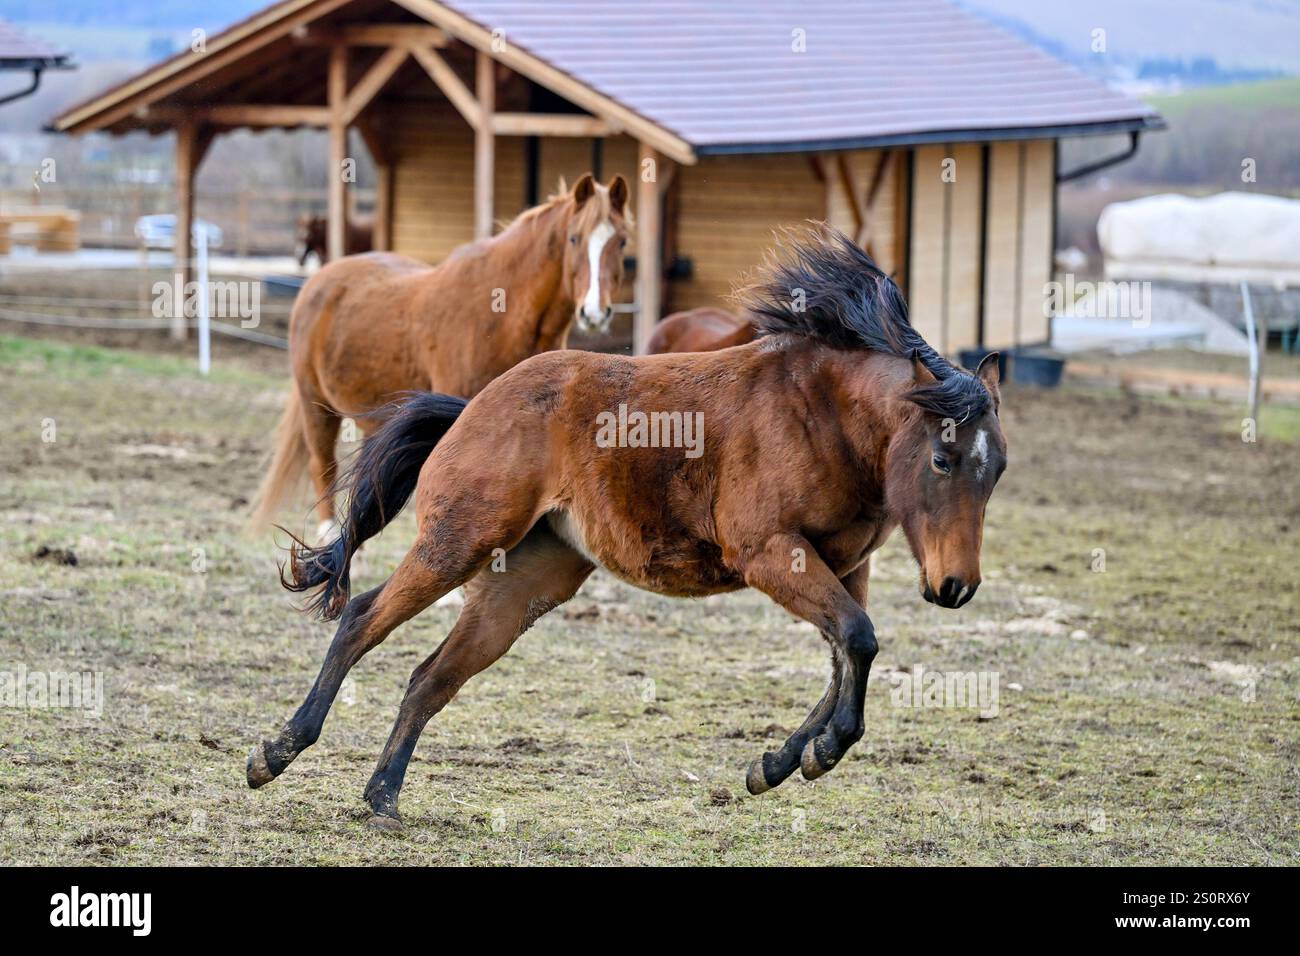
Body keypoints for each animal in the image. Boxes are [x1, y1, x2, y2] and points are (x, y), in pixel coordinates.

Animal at [246, 226, 1007, 830]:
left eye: (996, 469)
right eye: (943, 458)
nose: (957, 586)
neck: (820, 413)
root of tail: (473, 406)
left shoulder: (846, 567)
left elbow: (849, 652)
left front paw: (780, 761)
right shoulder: (771, 555)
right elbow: (857, 639)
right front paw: (814, 753)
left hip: (523, 585)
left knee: (431, 677)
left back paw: (382, 797)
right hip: (456, 544)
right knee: (362, 620)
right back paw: (276, 753)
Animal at [252, 173, 631, 538]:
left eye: (622, 241)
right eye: (574, 238)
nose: (594, 313)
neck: (502, 316)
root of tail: (319, 281)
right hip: (316, 407)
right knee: (323, 466)